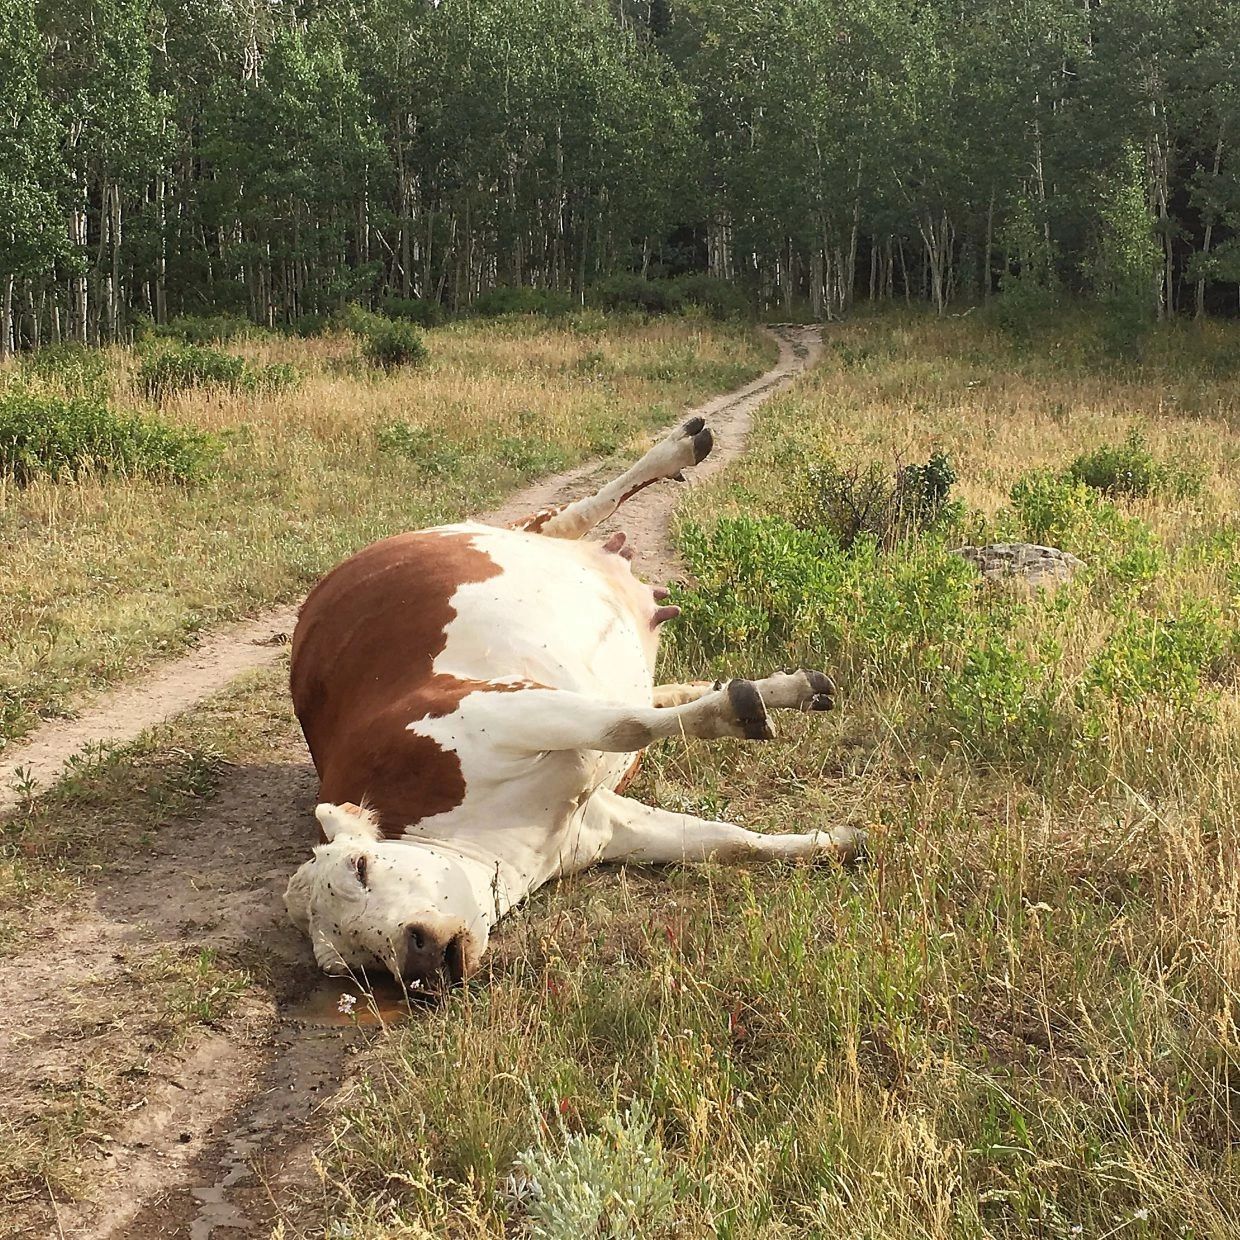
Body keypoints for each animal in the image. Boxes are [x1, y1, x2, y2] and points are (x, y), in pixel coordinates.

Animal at [285, 415, 863, 990]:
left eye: (360, 866)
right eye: (350, 963)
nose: (416, 958)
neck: (489, 841)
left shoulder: (499, 711)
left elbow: (624, 727)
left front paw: (750, 707)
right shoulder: (602, 826)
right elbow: (725, 839)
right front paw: (832, 842)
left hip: (503, 536)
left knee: (569, 514)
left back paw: (680, 446)